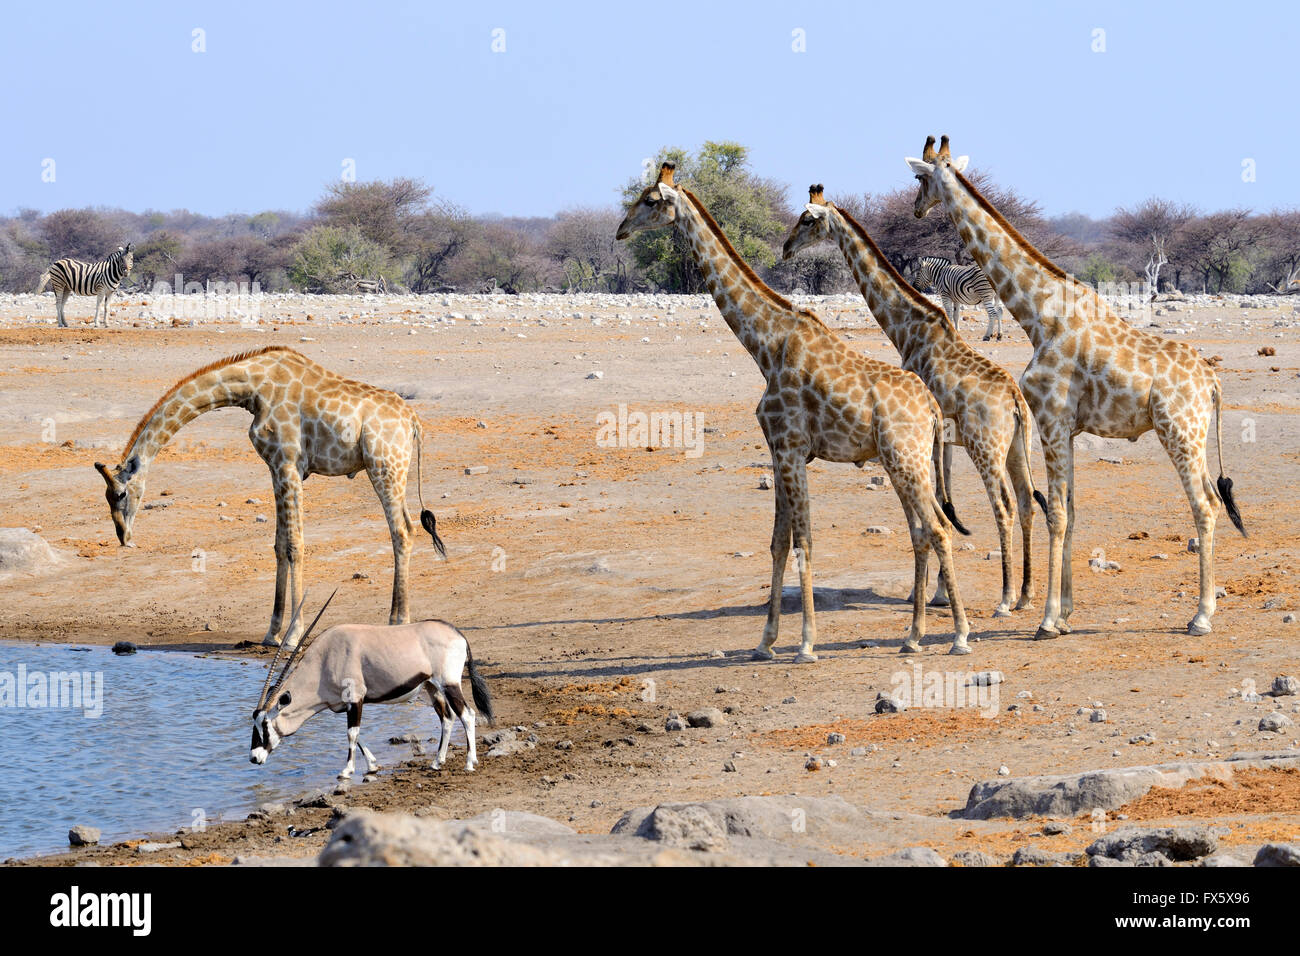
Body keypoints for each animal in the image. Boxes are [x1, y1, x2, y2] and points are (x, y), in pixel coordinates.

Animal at [94, 346, 447, 647]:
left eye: (120, 493)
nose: (123, 536)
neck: (254, 389)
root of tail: (413, 421)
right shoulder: (275, 467)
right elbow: (279, 545)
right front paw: (272, 633)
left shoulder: (289, 464)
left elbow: (295, 545)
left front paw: (294, 635)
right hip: (393, 470)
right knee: (409, 527)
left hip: (384, 466)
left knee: (401, 532)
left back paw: (398, 621)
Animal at [617, 162, 972, 659]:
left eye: (650, 200)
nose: (620, 230)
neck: (766, 345)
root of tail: (934, 411)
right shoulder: (779, 451)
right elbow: (777, 543)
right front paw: (765, 642)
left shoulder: (791, 448)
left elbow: (804, 539)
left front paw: (806, 641)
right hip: (902, 462)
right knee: (923, 531)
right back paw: (913, 636)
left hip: (908, 460)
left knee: (938, 529)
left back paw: (959, 635)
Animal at [782, 184, 1046, 618]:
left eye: (807, 219)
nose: (786, 248)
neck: (905, 329)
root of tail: (1014, 398)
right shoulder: (943, 440)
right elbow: (944, 498)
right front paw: (938, 592)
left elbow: (939, 502)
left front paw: (925, 593)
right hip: (1014, 447)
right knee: (1026, 502)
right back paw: (1025, 593)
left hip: (986, 447)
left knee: (1005, 506)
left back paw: (1006, 598)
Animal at [907, 136, 1245, 639]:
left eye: (919, 178)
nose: (914, 209)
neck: (1039, 315)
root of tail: (1213, 381)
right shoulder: (1066, 429)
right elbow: (1070, 508)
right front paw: (1065, 613)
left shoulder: (1051, 419)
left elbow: (1057, 513)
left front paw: (1047, 619)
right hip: (1196, 435)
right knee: (1214, 499)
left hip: (1178, 431)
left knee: (1203, 505)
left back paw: (1201, 616)